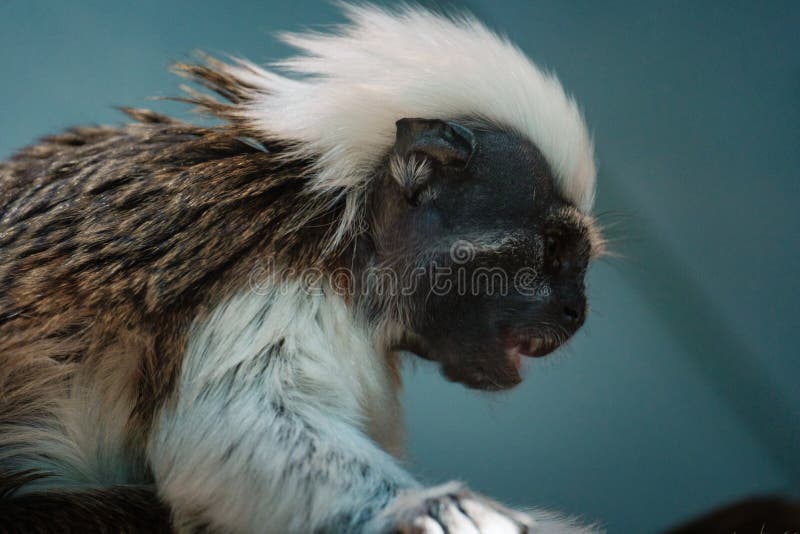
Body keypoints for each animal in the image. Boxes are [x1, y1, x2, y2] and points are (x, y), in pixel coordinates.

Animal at [0, 4, 604, 533]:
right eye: (551, 250)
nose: (575, 311)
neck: (345, 238)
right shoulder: (272, 286)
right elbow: (236, 422)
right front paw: (430, 508)